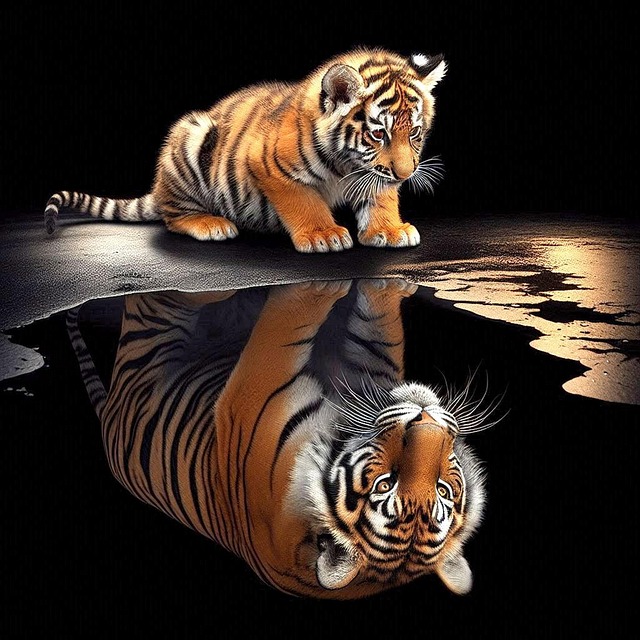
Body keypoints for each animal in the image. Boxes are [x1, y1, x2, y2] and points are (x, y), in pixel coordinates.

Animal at [45, 47, 446, 253]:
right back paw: (210, 224)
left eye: (414, 133)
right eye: (378, 134)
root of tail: (157, 189)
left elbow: (380, 197)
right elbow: (305, 201)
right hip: (190, 137)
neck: (346, 165)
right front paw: (325, 234)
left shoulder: (375, 174)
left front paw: (390, 230)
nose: (406, 174)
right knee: (173, 216)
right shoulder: (270, 166)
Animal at [66, 278, 501, 599]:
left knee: (169, 300)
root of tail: (109, 411)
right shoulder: (368, 376)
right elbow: (379, 336)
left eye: (384, 485)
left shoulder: (248, 392)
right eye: (446, 490)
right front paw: (388, 285)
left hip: (153, 330)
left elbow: (284, 324)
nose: (427, 419)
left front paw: (321, 286)